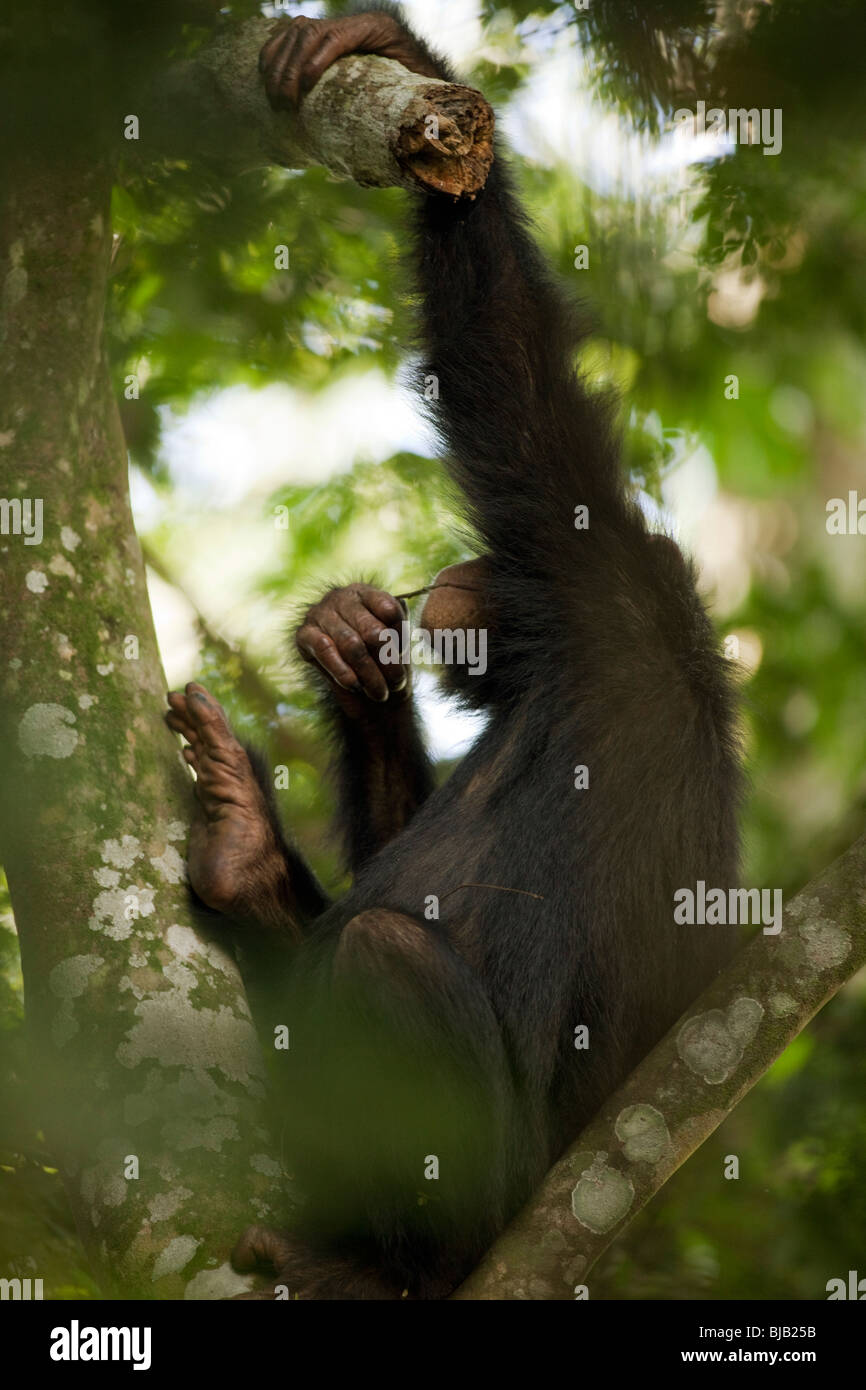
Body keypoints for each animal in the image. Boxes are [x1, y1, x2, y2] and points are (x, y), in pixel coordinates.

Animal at [164, 4, 742, 1300]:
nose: (456, 578)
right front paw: (345, 651)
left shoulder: (594, 567)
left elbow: (509, 371)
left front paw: (405, 68)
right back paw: (243, 853)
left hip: (491, 1194)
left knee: (382, 956)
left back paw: (387, 1271)